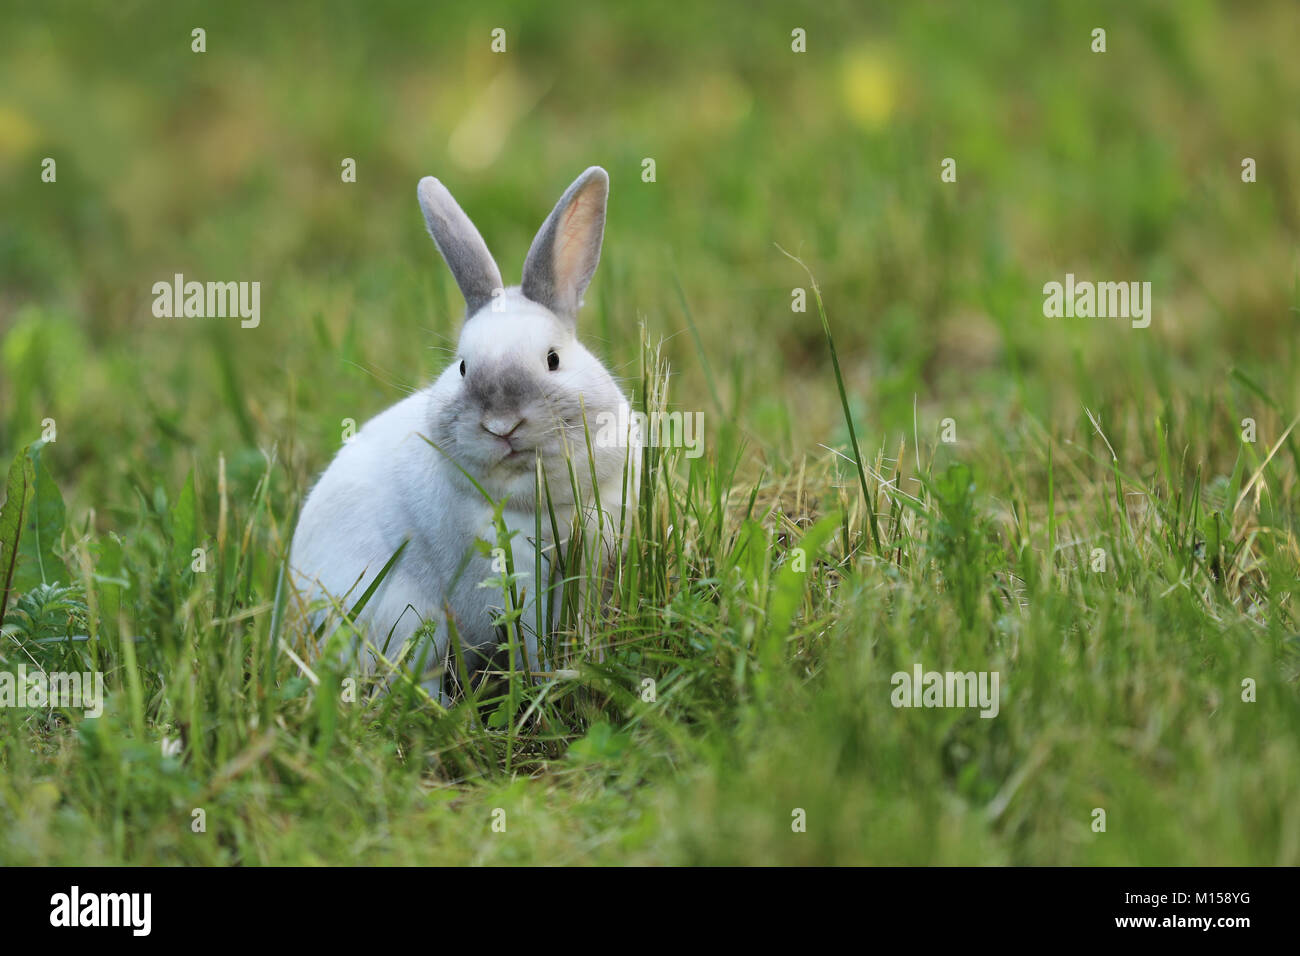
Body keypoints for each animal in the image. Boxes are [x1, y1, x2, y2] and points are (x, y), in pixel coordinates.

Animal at [288, 166, 639, 703]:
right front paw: (551, 681)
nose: (501, 425)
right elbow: (534, 640)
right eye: (462, 367)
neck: (541, 500)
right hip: (411, 623)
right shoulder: (519, 580)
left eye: (553, 359)